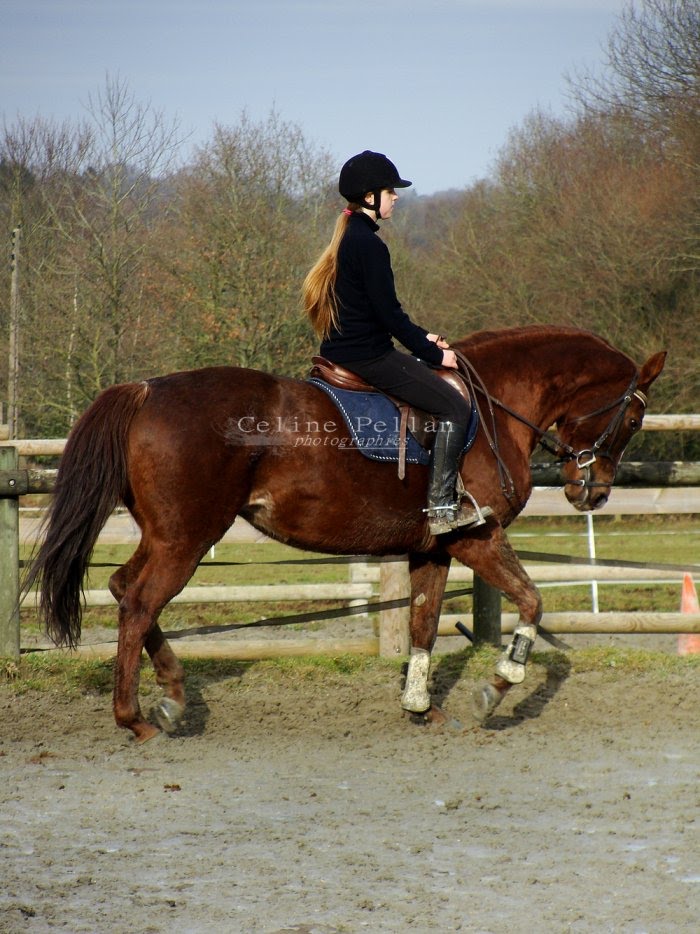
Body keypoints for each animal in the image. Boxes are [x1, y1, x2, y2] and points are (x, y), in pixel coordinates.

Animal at [24, 326, 666, 741]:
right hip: (187, 538)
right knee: (138, 601)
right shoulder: (475, 539)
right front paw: (496, 686)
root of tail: (147, 389)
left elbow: (423, 624)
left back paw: (173, 697)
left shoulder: (433, 548)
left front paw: (421, 707)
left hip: (165, 535)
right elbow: (531, 602)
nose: (594, 494)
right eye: (634, 418)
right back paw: (134, 717)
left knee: (122, 589)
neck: (490, 409)